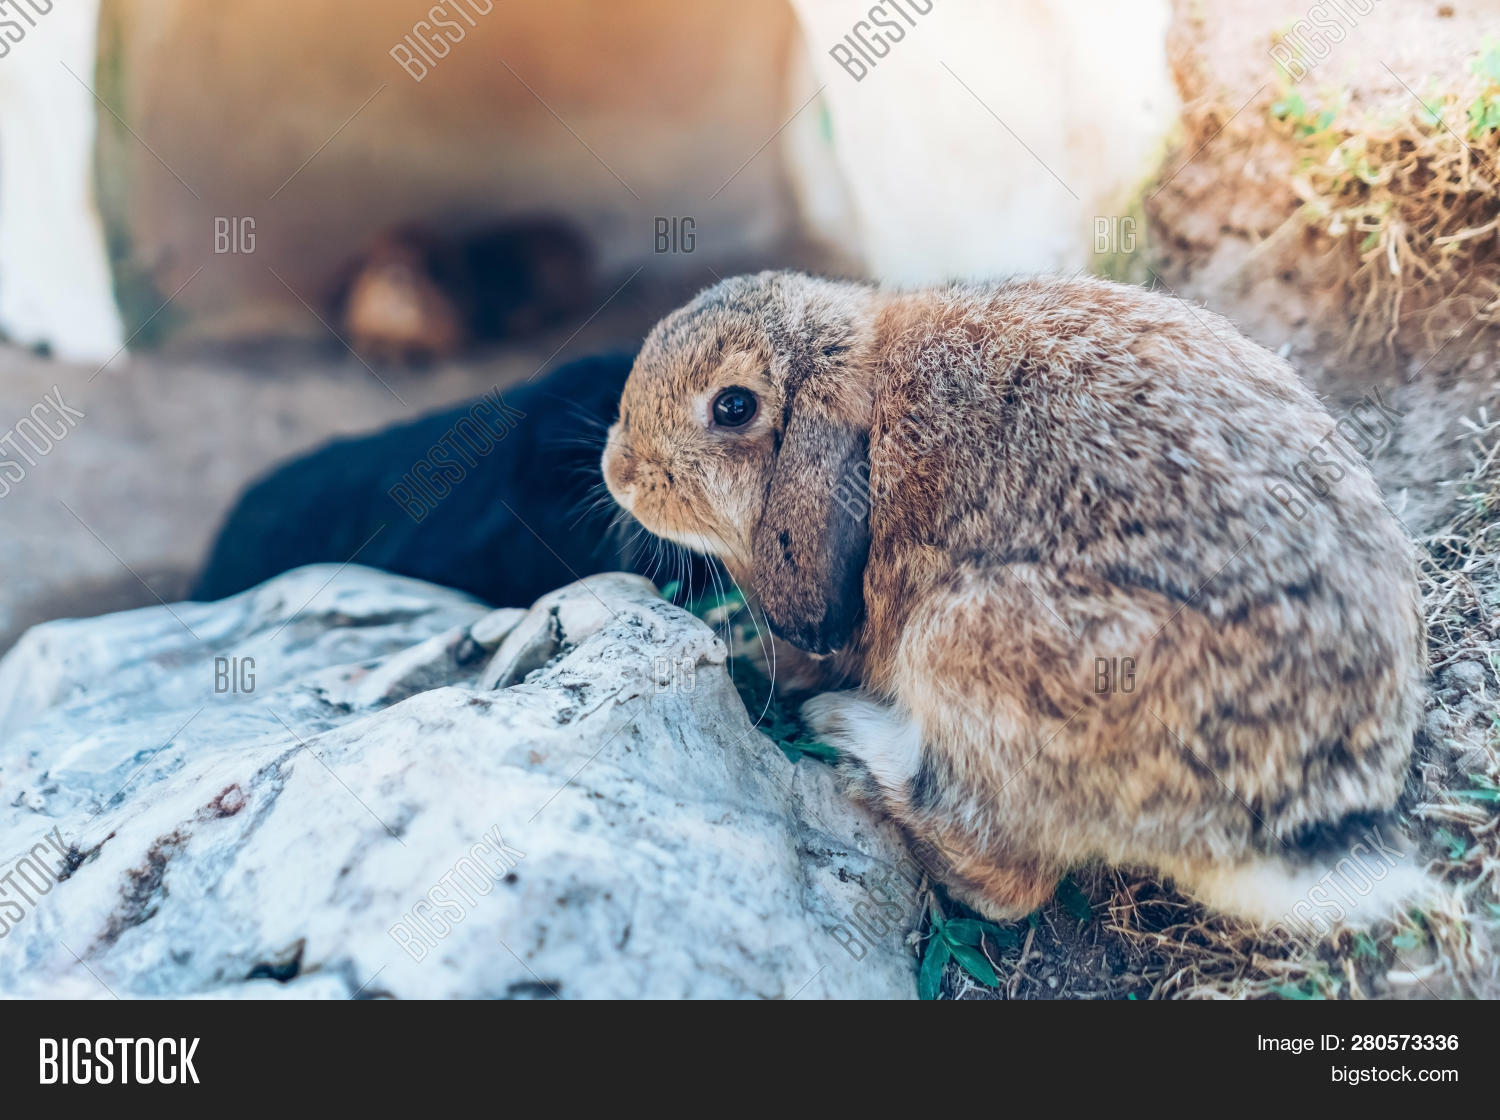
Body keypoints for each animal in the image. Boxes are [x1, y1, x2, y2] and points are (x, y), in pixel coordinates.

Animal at [600, 269, 1432, 931]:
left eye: (733, 407)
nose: (620, 471)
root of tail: (1290, 819)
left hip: (964, 641)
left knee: (1004, 876)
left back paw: (848, 743)